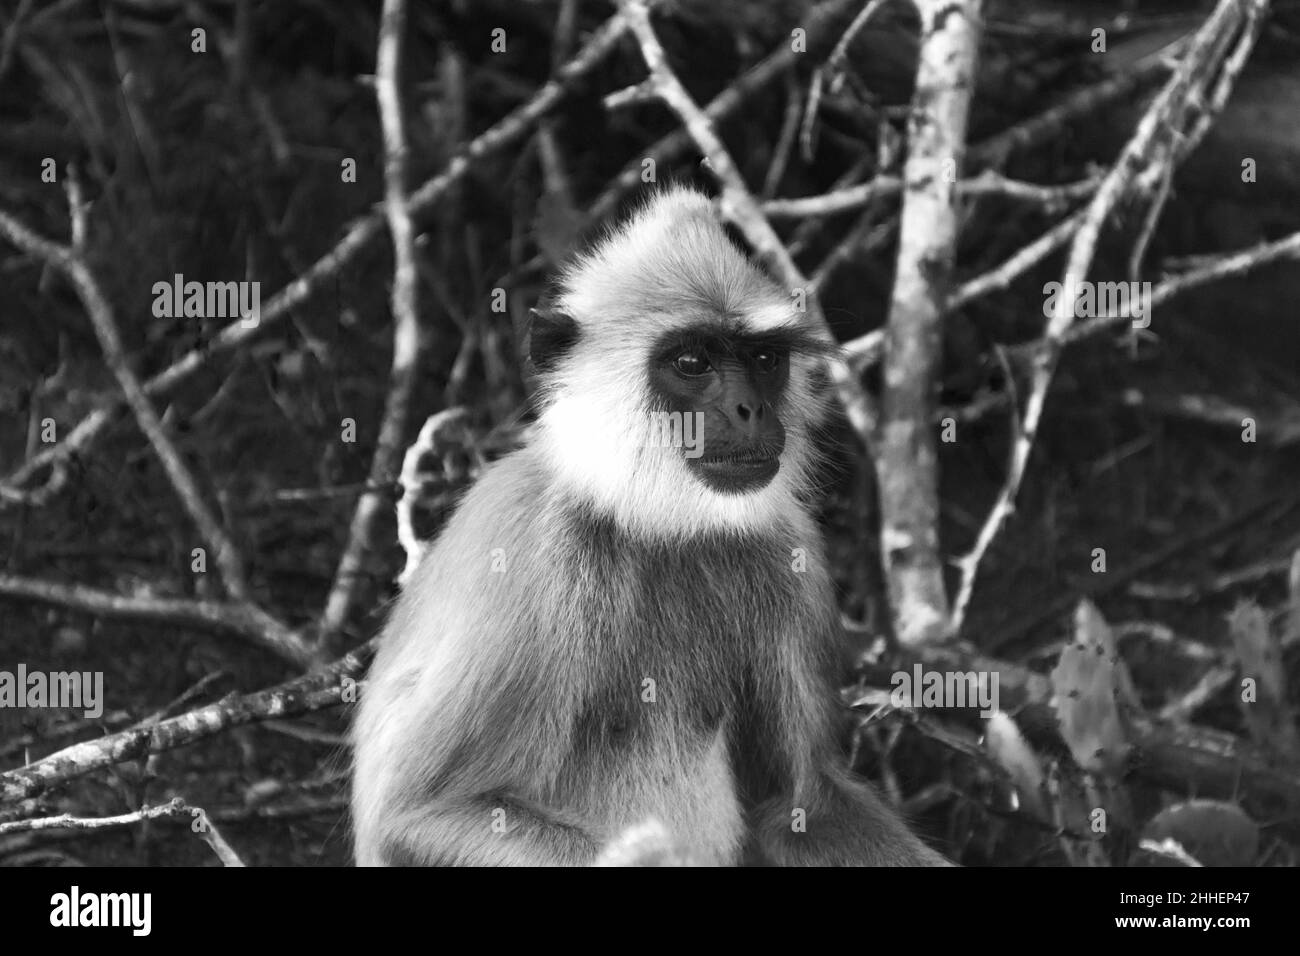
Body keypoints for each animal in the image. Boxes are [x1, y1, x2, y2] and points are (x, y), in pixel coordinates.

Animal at [351, 186, 951, 866]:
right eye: (692, 362)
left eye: (764, 359)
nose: (750, 409)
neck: (656, 523)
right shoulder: (534, 552)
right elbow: (418, 816)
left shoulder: (789, 549)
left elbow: (802, 807)